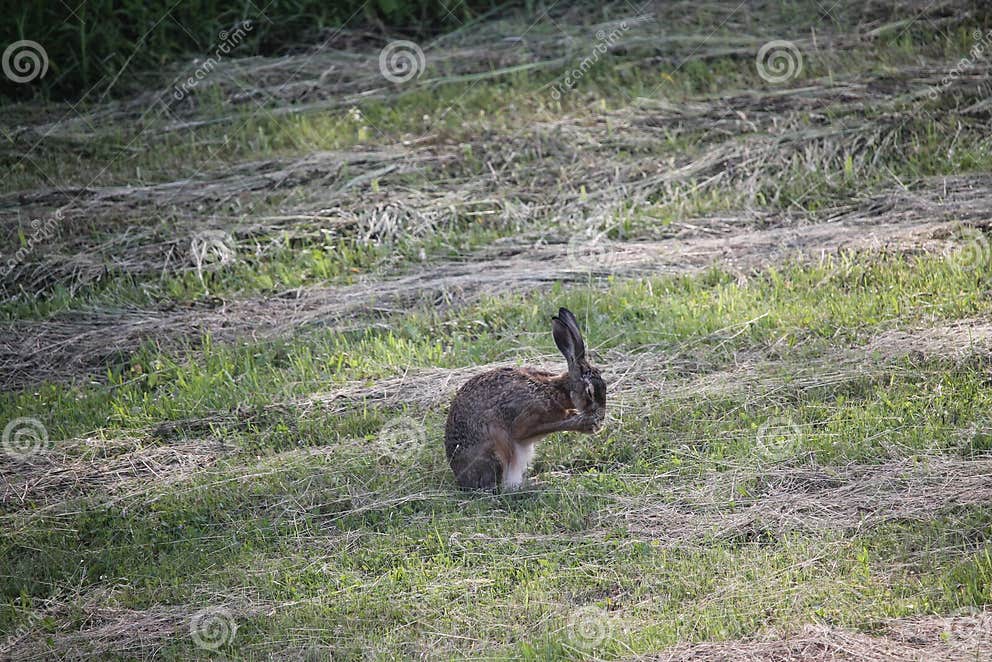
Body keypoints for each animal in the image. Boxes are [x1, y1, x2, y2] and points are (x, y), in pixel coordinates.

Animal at [444, 307, 606, 491]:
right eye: (590, 392)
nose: (601, 417)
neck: (555, 390)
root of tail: (462, 480)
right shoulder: (525, 417)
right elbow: (539, 428)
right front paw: (585, 424)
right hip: (497, 453)